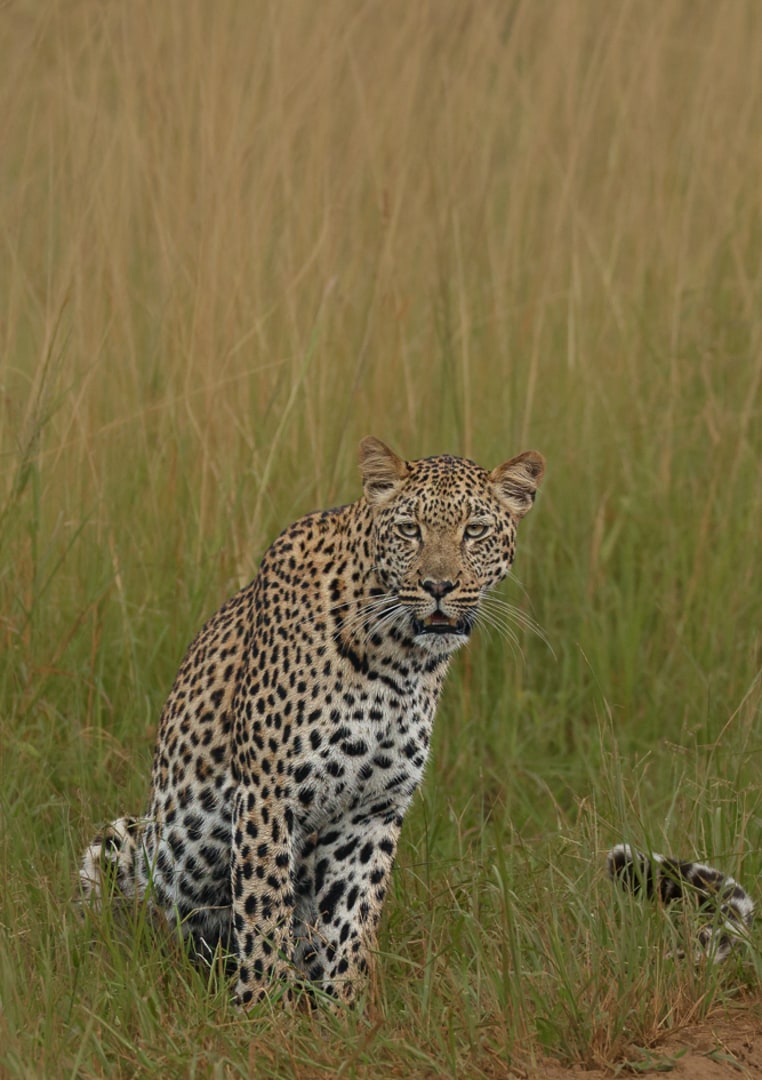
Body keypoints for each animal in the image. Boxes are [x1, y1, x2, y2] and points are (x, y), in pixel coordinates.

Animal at [80, 436, 545, 1007]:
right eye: (409, 529)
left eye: (474, 530)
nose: (438, 585)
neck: (400, 663)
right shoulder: (268, 794)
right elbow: (264, 911)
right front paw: (262, 1012)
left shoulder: (371, 812)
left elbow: (351, 922)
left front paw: (346, 1011)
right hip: (122, 841)